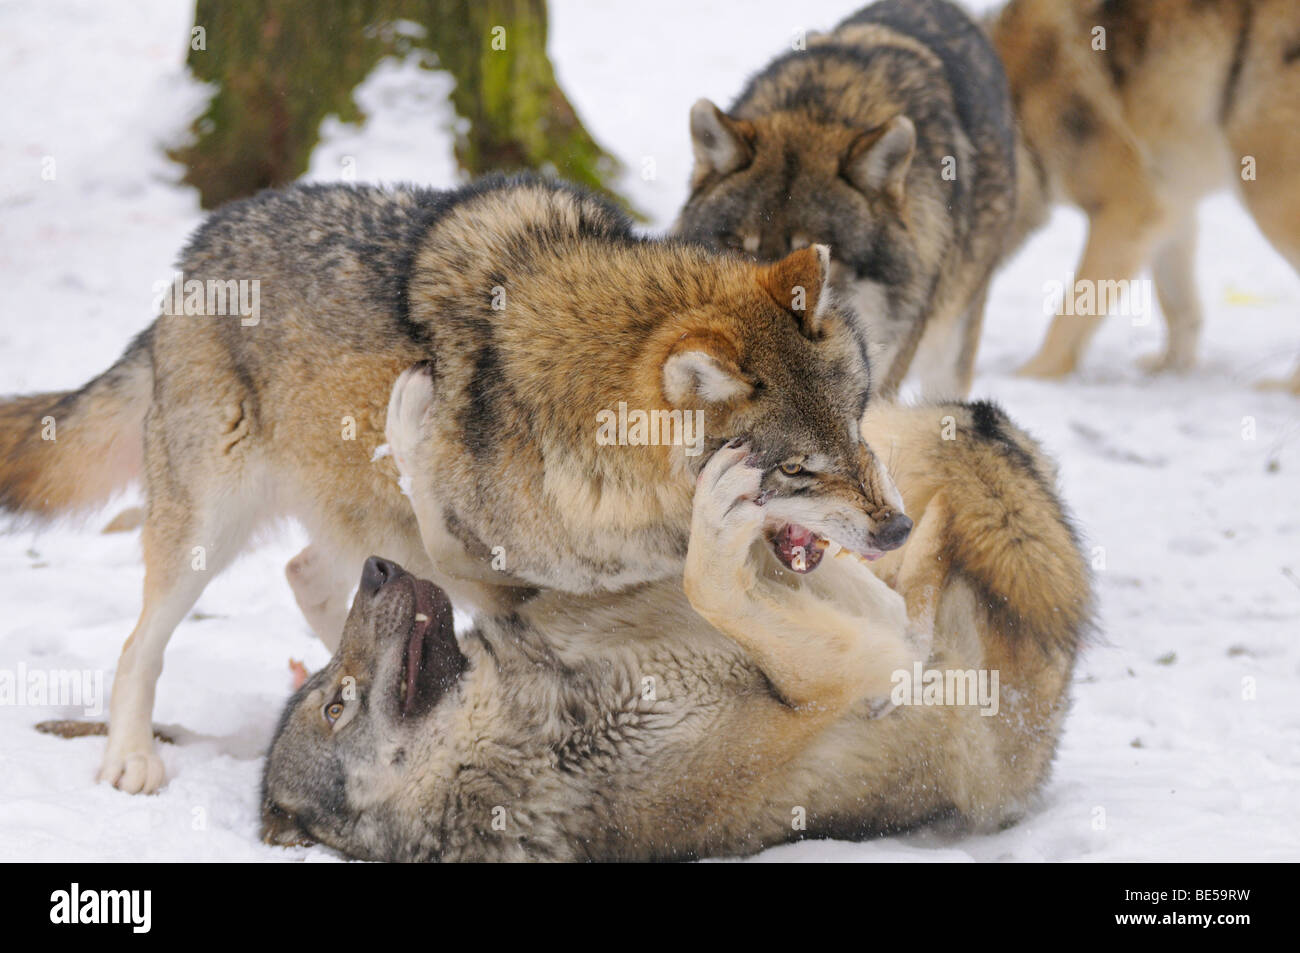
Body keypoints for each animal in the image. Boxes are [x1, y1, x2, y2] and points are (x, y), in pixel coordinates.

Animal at [0, 175, 911, 795]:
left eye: (858, 423)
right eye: (798, 466)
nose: (897, 530)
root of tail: (197, 250)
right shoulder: (506, 575)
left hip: (346, 521)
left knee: (307, 574)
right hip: (208, 529)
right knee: (140, 643)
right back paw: (130, 757)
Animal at [259, 380, 1091, 861]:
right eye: (334, 704)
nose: (375, 568)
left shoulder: (534, 594)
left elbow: (452, 544)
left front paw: (411, 431)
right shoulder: (839, 679)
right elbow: (721, 583)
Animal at [996, 0, 1300, 390]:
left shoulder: (1127, 206)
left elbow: (1072, 309)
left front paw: (1029, 378)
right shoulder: (1171, 206)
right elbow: (1179, 306)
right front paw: (1171, 369)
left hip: (1267, 192)